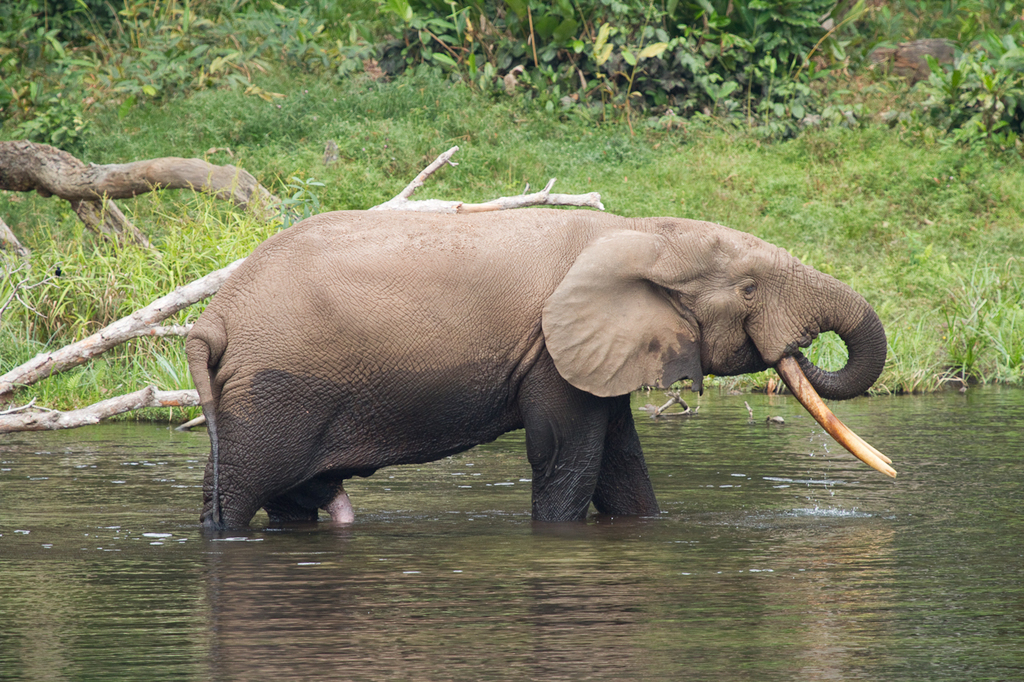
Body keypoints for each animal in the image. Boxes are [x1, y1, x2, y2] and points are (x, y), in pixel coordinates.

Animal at [187, 209, 893, 530]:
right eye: (749, 289)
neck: (644, 229)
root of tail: (213, 319)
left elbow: (621, 464)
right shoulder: (555, 352)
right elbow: (567, 455)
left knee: (289, 498)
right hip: (275, 391)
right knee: (239, 493)